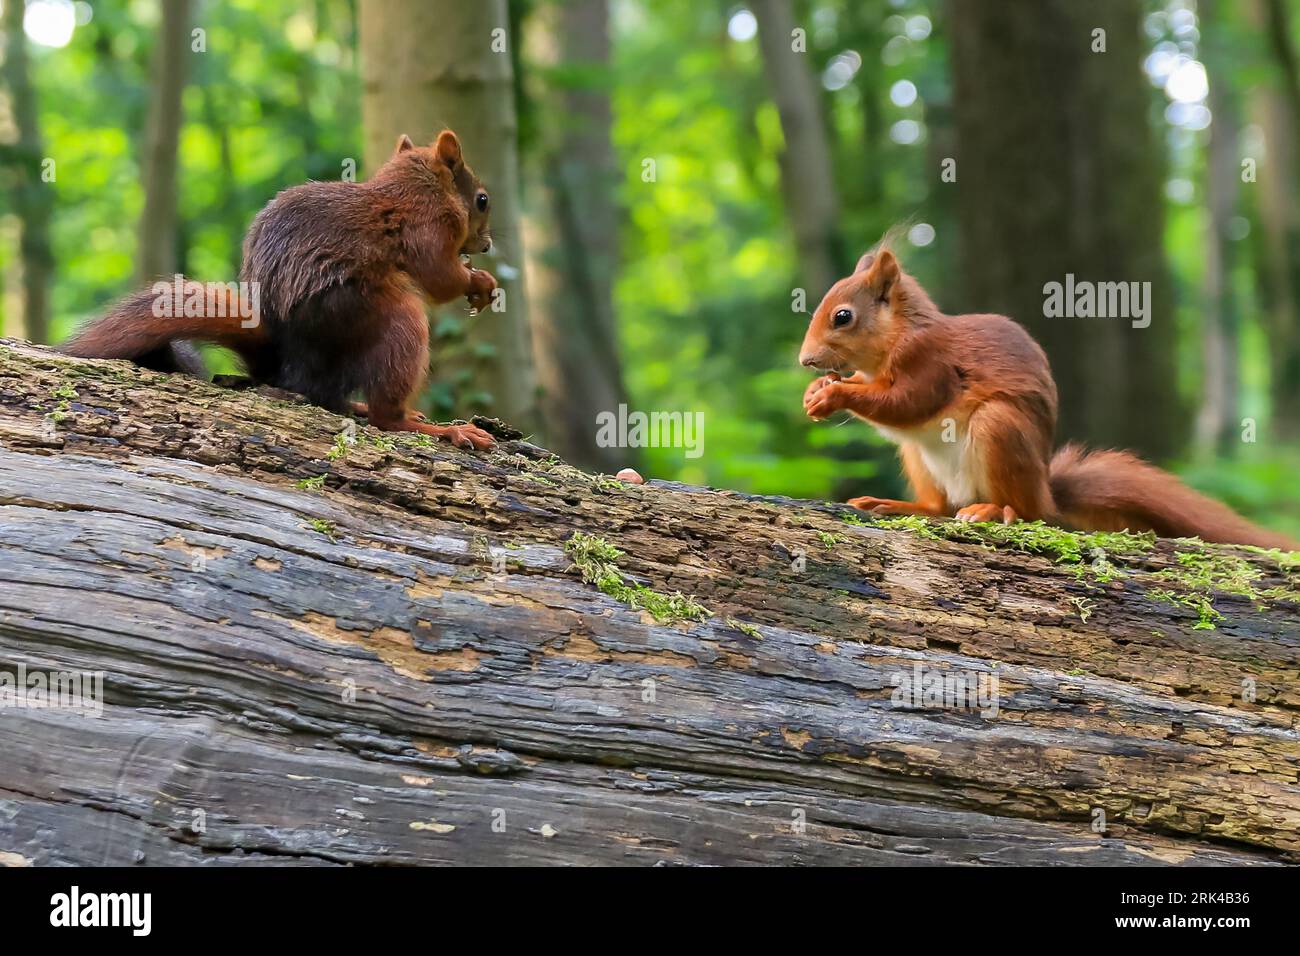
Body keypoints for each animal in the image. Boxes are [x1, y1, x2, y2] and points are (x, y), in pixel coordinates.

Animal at [63, 129, 500, 449]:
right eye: (482, 200)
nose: (488, 245)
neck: (417, 188)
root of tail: (288, 367)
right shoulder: (426, 227)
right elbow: (439, 277)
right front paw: (481, 282)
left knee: (331, 398)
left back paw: (359, 406)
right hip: (388, 318)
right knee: (383, 417)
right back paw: (438, 428)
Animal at [799, 246, 1298, 550]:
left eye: (843, 317)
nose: (806, 360)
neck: (897, 336)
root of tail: (1046, 490)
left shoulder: (931, 364)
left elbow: (907, 403)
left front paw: (835, 393)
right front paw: (817, 390)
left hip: (1000, 428)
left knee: (1027, 513)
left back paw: (992, 510)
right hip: (918, 459)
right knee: (939, 508)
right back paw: (895, 505)